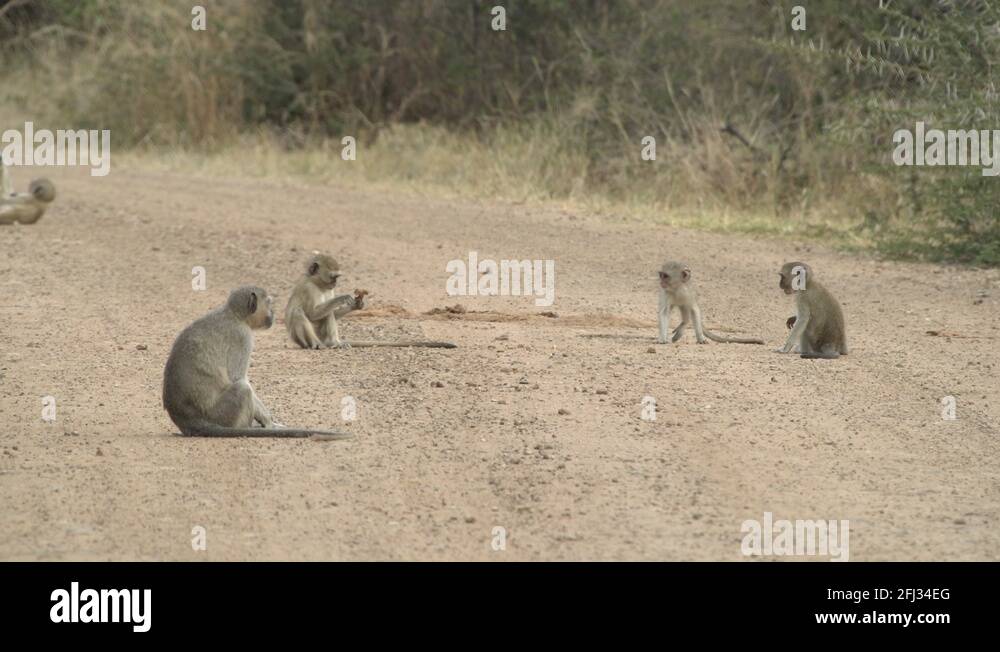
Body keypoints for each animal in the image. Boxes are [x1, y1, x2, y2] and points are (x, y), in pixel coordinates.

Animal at [163, 285, 352, 438]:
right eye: (268, 304)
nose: (274, 314)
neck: (235, 315)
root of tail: (187, 420)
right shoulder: (243, 337)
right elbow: (237, 377)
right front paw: (268, 422)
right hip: (221, 414)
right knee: (243, 388)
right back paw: (246, 428)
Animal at [285, 252, 457, 349]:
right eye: (333, 277)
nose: (335, 284)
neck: (317, 283)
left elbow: (332, 312)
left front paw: (356, 304)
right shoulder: (308, 288)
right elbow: (312, 314)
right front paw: (342, 298)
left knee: (327, 314)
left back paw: (334, 343)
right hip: (303, 339)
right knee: (299, 313)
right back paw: (318, 344)